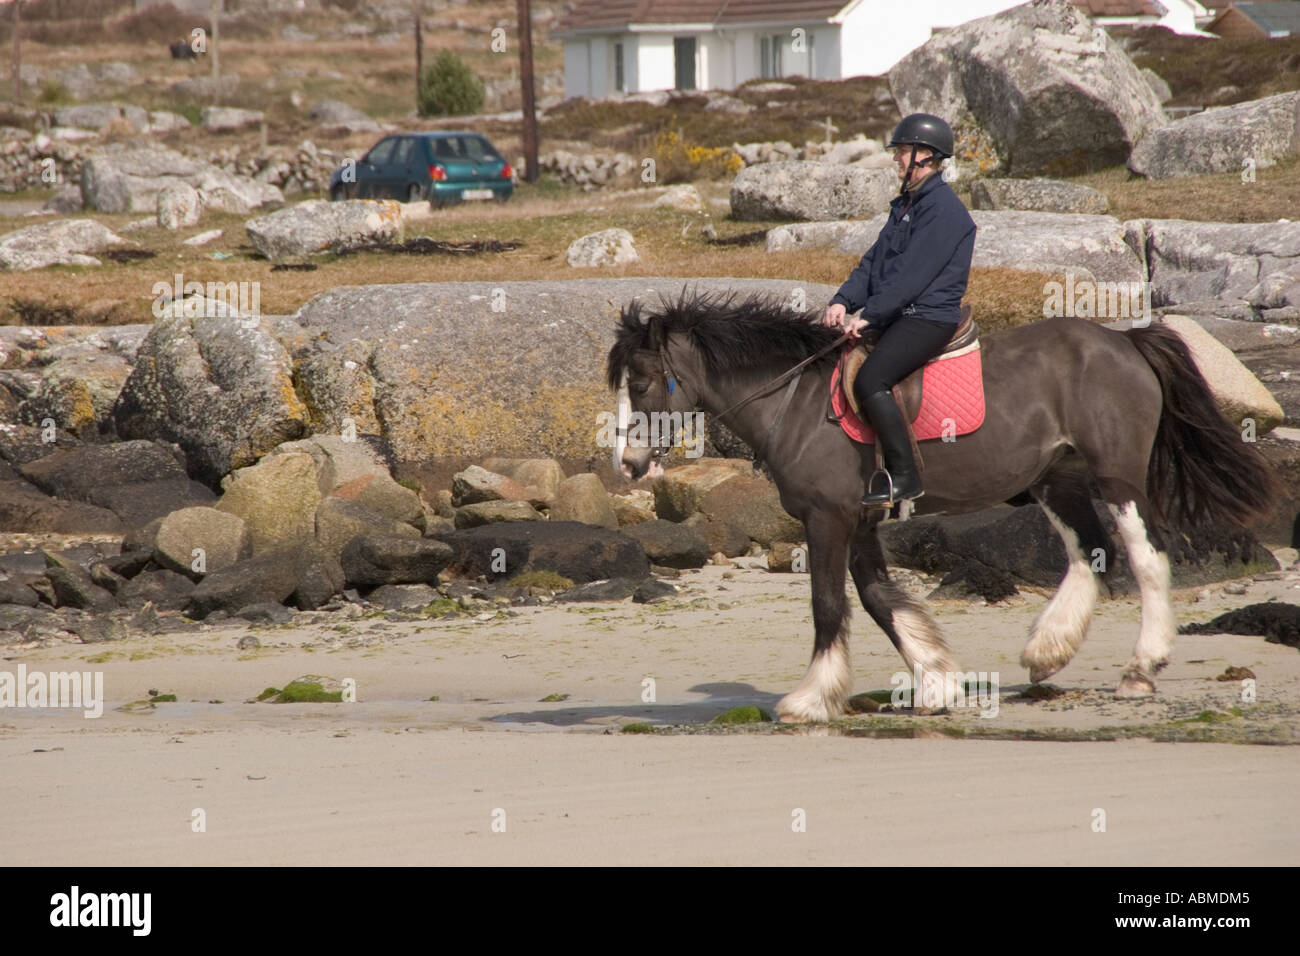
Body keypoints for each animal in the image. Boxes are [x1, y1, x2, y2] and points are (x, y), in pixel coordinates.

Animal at [606, 290, 1281, 723]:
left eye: (639, 383)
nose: (628, 466)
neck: (795, 402)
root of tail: (1126, 342)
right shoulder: (859, 520)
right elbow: (879, 600)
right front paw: (936, 680)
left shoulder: (828, 519)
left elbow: (829, 605)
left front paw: (811, 699)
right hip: (1056, 480)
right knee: (1089, 553)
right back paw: (1048, 649)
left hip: (1116, 479)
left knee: (1145, 558)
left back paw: (1140, 669)